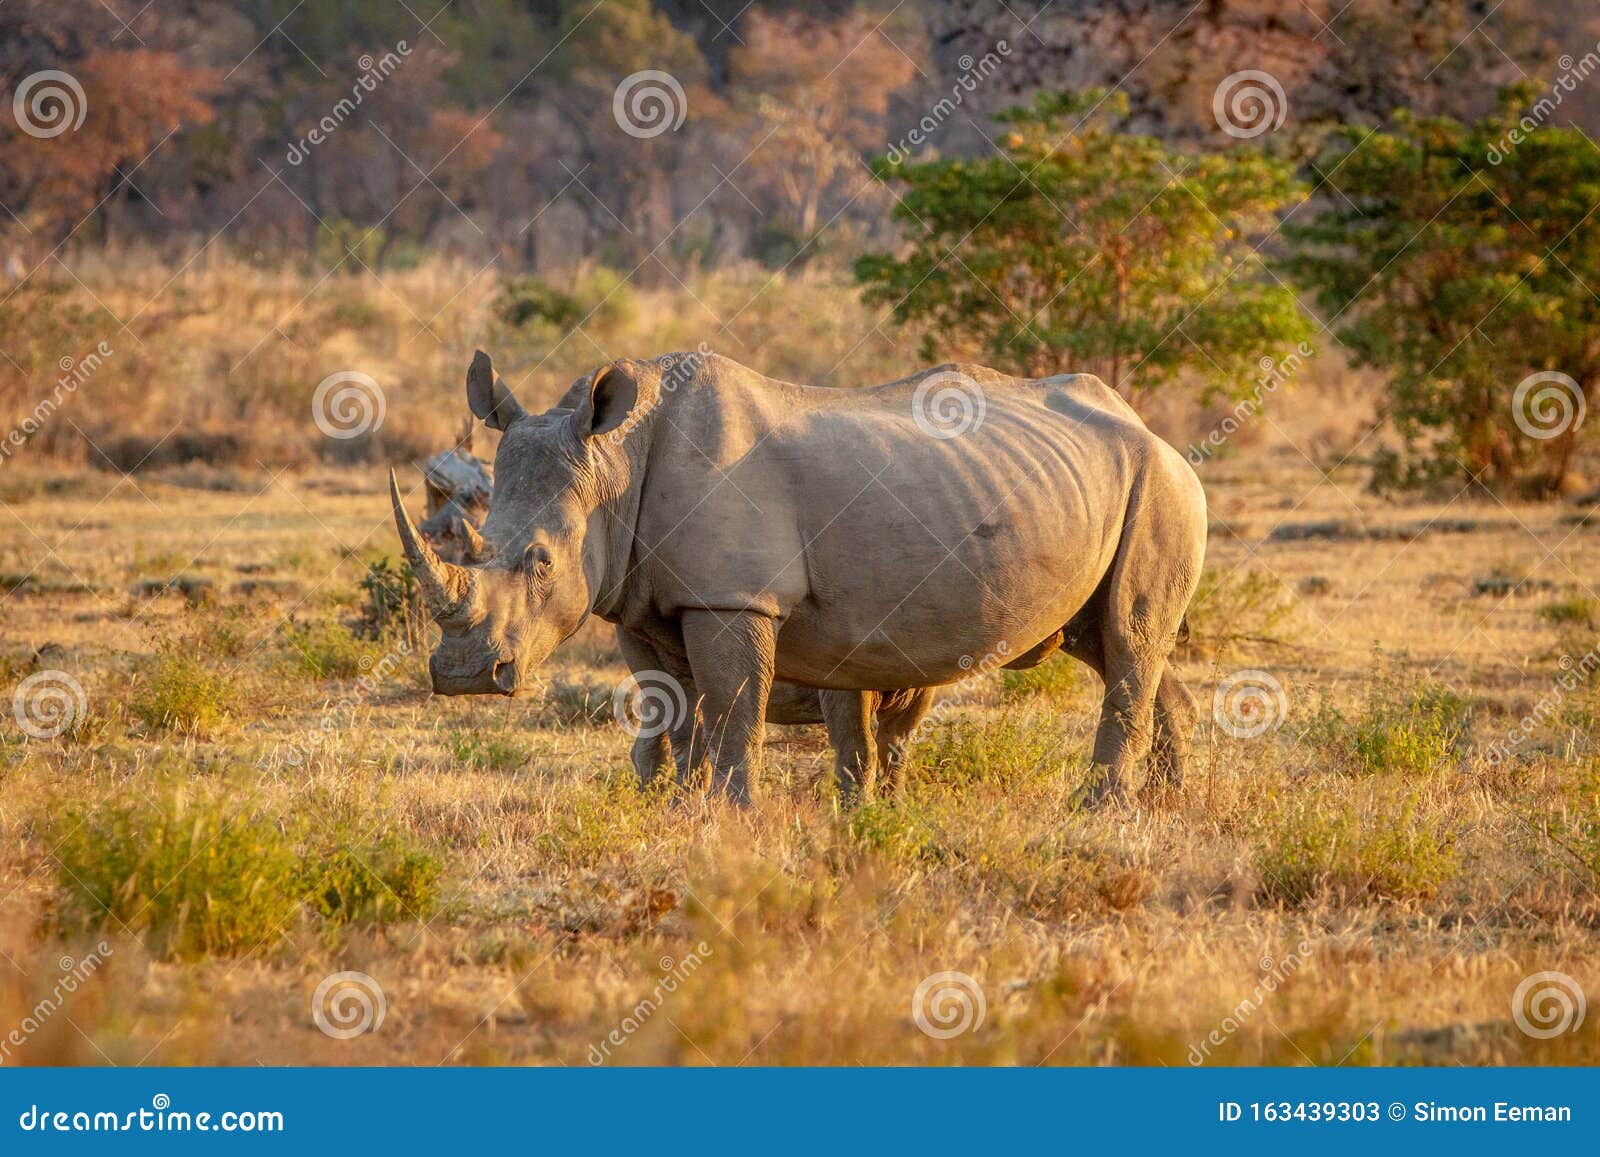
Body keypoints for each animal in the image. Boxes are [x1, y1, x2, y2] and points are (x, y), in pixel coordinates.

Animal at [391, 350, 1206, 806]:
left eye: (541, 562)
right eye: (473, 541)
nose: (463, 676)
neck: (613, 460)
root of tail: (1153, 429)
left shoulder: (733, 598)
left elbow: (733, 708)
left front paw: (733, 815)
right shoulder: (641, 603)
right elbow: (673, 710)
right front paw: (680, 810)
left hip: (1162, 483)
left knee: (1128, 639)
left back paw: (1096, 810)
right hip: (1092, 482)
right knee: (1111, 642)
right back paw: (1163, 805)